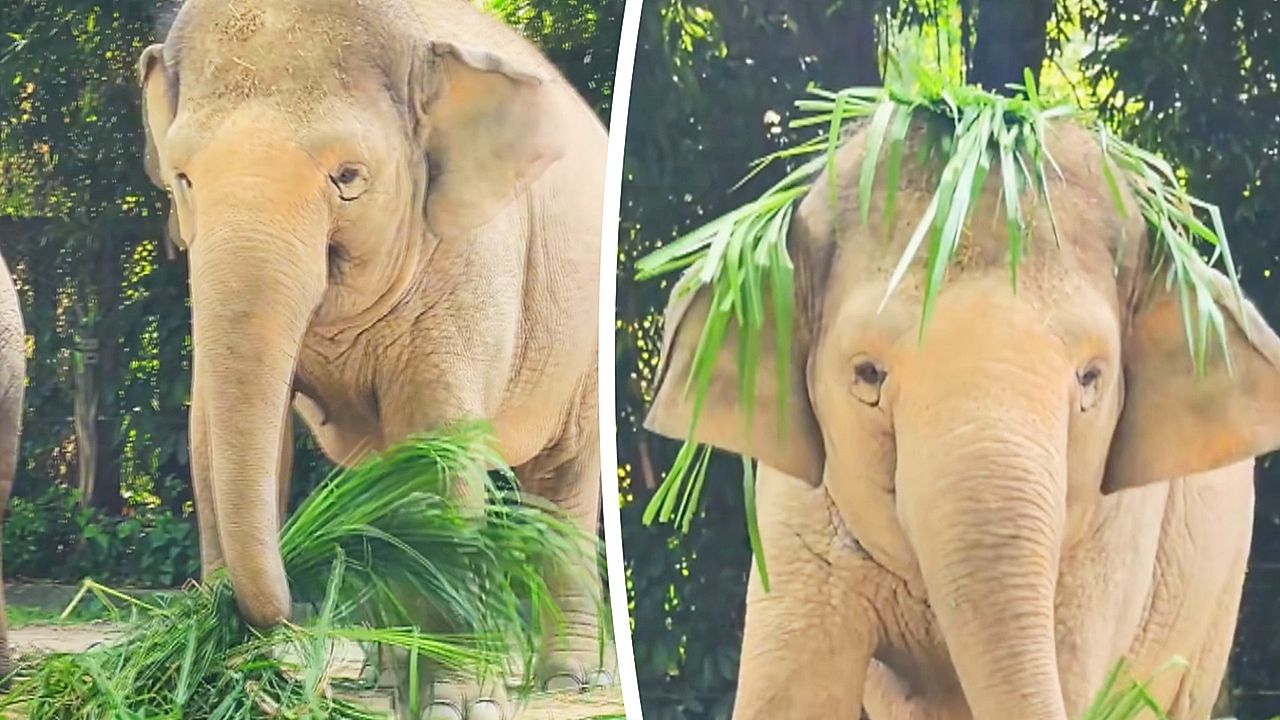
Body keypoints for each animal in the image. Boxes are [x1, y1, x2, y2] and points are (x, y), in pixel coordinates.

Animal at [136, 1, 607, 717]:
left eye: (349, 178)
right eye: (183, 179)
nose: (293, 614)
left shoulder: (471, 256)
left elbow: (438, 447)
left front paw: (456, 705)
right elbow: (210, 438)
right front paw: (223, 668)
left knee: (561, 481)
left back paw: (569, 682)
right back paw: (383, 683)